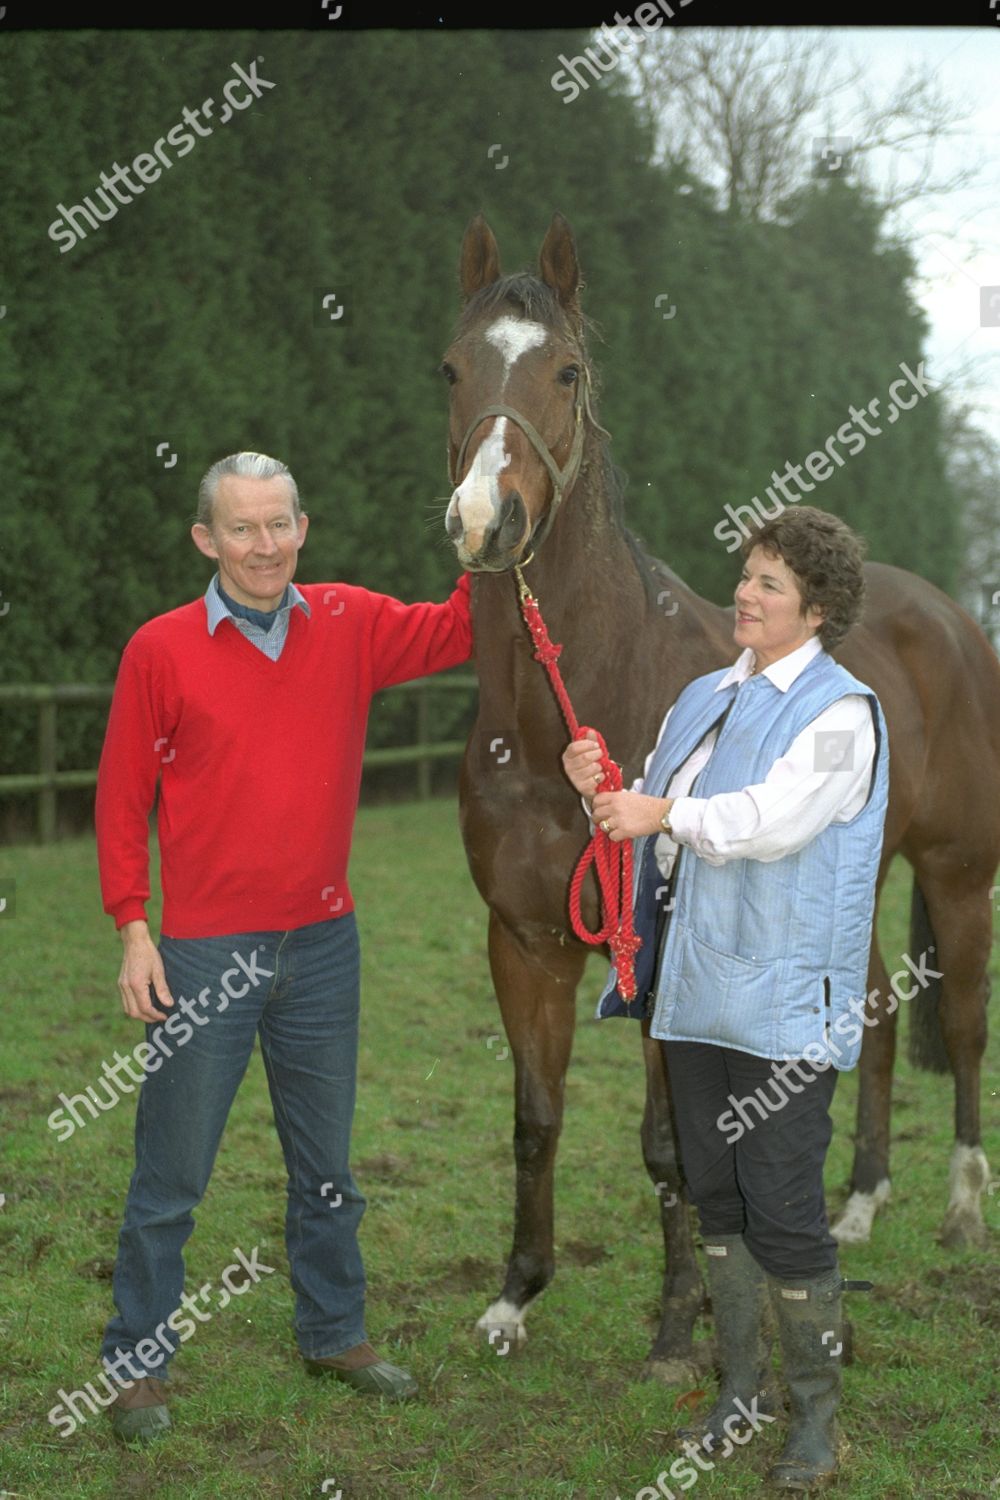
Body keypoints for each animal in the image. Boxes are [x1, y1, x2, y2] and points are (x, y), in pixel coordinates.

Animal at [440, 211, 999, 1379]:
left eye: (567, 371)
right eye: (452, 367)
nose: (484, 521)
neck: (567, 710)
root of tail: (951, 620)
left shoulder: (655, 955)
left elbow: (670, 1147)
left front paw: (676, 1327)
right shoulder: (522, 942)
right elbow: (535, 1117)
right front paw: (516, 1296)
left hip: (960, 873)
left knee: (965, 1022)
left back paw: (963, 1208)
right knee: (870, 1018)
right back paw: (857, 1206)